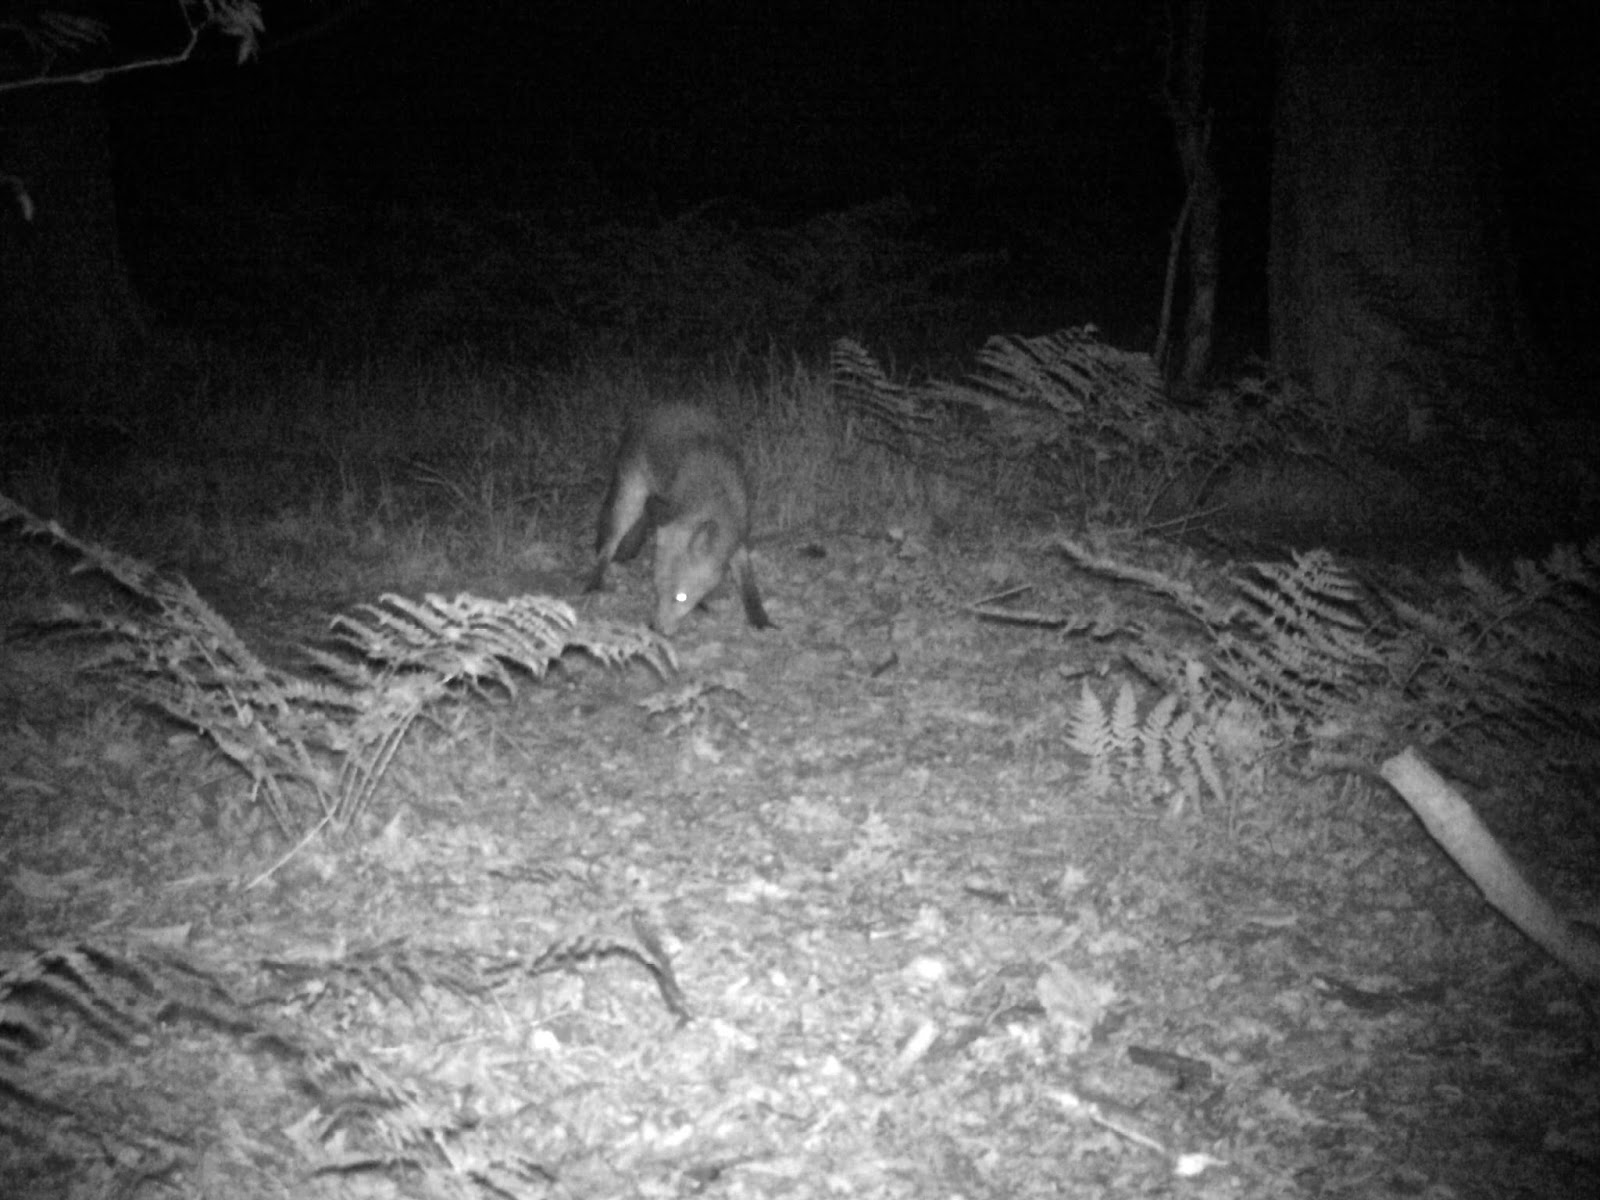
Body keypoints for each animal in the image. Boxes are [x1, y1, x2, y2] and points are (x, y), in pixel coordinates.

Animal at [585, 405, 774, 636]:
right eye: (657, 591)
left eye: (681, 598)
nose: (655, 628)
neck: (715, 497)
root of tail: (657, 410)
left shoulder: (738, 538)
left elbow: (748, 585)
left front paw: (761, 620)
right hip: (630, 502)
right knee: (608, 546)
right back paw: (594, 582)